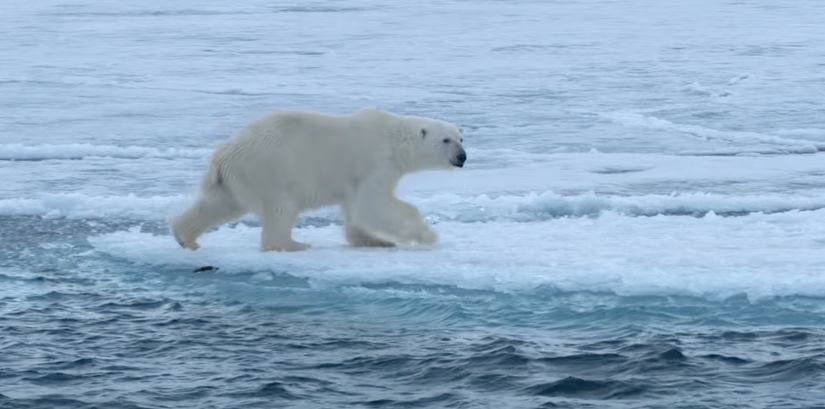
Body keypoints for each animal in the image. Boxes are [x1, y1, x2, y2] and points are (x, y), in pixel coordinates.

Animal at [170, 108, 467, 252]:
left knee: (217, 205)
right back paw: (292, 244)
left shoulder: (357, 176)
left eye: (461, 137)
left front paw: (375, 241)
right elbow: (373, 204)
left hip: (234, 180)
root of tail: (222, 155)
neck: (393, 140)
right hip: (272, 170)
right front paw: (427, 235)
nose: (462, 157)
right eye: (446, 140)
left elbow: (357, 209)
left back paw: (185, 238)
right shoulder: (376, 163)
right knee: (281, 208)